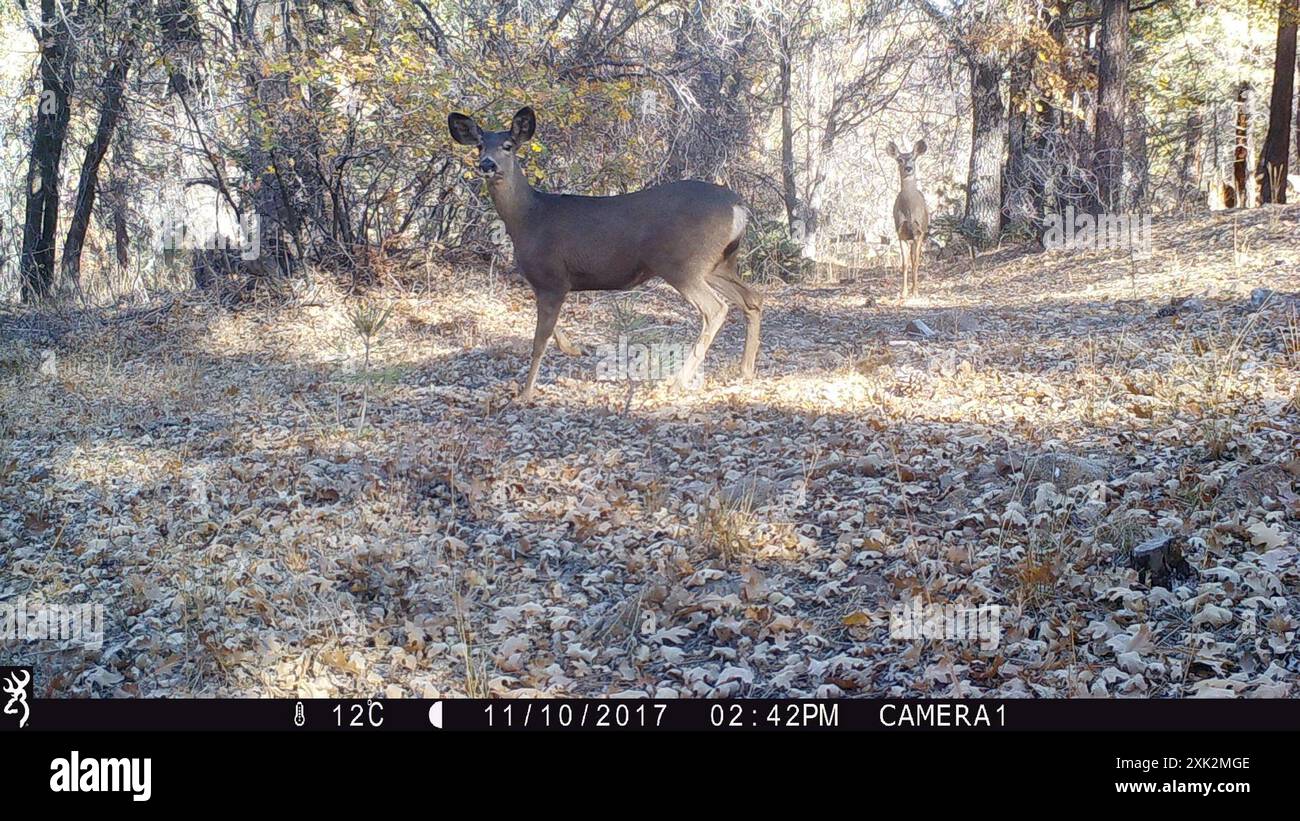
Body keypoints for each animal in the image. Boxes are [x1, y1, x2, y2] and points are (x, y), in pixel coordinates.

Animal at [448, 107, 762, 402]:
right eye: (479, 145)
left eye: (508, 145)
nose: (486, 164)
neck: (528, 218)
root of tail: (738, 207)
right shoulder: (544, 283)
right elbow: (550, 331)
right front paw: (574, 348)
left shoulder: (552, 278)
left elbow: (539, 340)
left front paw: (525, 393)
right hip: (719, 264)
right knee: (752, 299)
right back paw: (745, 370)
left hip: (681, 264)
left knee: (716, 308)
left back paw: (676, 382)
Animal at [886, 139, 929, 297]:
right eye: (900, 160)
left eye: (913, 158)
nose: (908, 168)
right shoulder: (901, 233)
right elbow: (905, 263)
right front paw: (903, 292)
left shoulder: (919, 231)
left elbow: (916, 262)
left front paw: (915, 292)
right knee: (910, 257)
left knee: (915, 258)